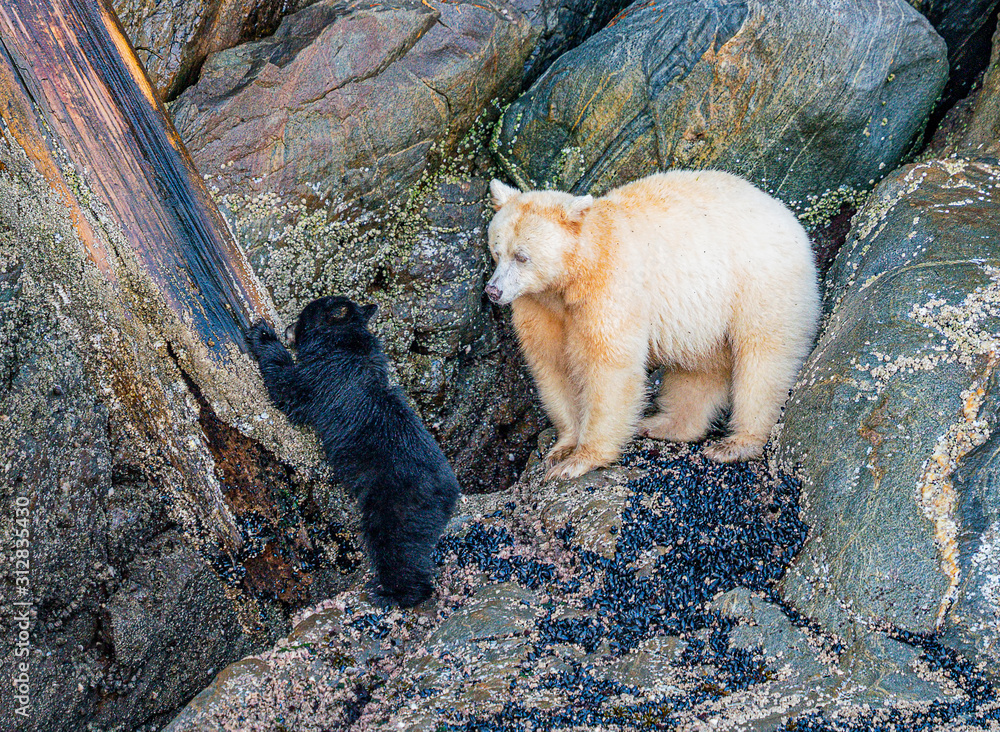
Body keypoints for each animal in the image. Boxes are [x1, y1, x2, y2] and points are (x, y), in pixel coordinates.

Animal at [246, 296, 460, 607]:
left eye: (302, 317)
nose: (286, 328)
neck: (343, 343)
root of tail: (451, 493)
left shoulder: (324, 376)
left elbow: (288, 388)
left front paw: (263, 334)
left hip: (397, 502)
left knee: (396, 546)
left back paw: (392, 593)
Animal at [485, 170, 820, 480]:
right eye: (496, 251)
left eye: (522, 256)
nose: (493, 290)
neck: (576, 274)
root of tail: (789, 218)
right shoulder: (540, 305)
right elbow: (553, 365)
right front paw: (562, 447)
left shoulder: (611, 288)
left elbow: (610, 368)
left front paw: (579, 460)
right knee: (699, 370)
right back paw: (663, 424)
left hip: (761, 284)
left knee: (763, 360)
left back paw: (735, 444)